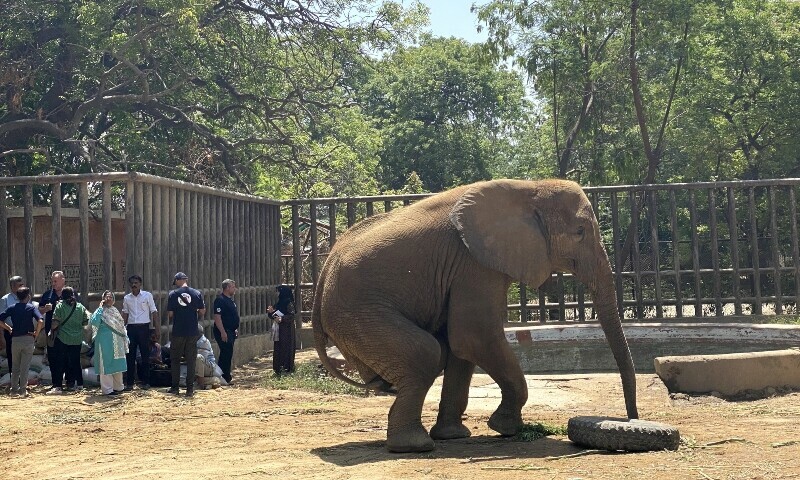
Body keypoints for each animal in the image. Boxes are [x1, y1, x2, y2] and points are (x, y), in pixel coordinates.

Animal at [312, 179, 638, 453]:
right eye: (580, 232)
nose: (631, 419)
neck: (528, 187)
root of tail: (323, 272)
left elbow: (462, 347)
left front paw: (455, 436)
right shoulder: (473, 263)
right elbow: (474, 337)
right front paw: (505, 428)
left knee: (436, 353)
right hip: (357, 311)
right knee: (426, 353)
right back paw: (414, 446)